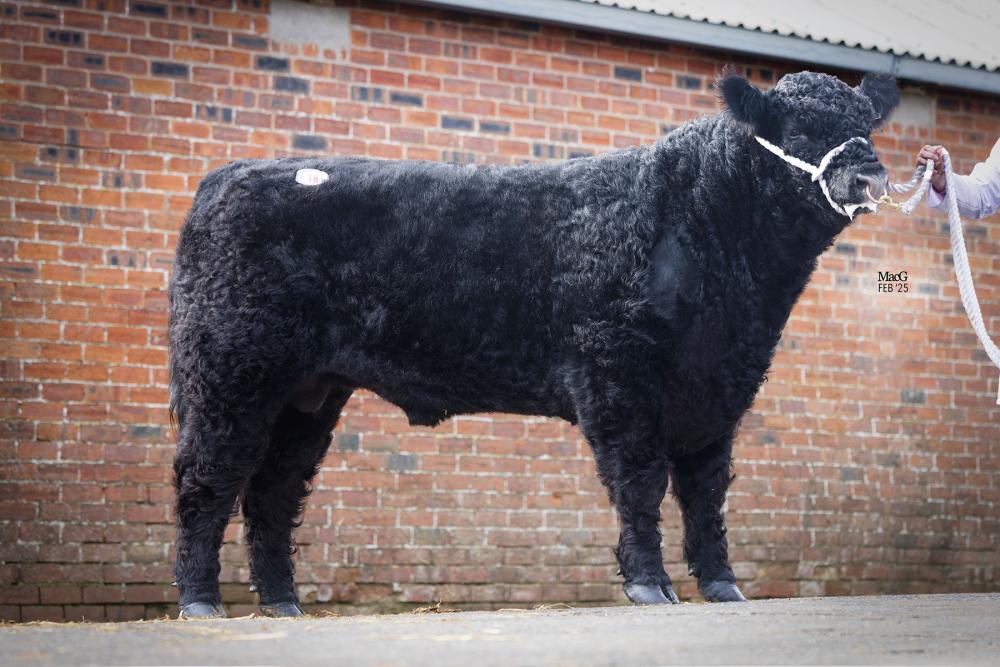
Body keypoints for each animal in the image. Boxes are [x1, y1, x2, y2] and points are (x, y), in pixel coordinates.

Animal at [168, 70, 901, 618]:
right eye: (798, 129)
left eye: (866, 123)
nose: (871, 175)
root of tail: (229, 176)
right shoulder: (616, 370)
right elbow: (640, 480)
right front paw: (650, 584)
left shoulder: (721, 387)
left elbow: (706, 491)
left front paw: (723, 584)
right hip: (231, 368)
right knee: (208, 477)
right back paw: (202, 601)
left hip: (308, 392)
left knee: (273, 489)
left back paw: (282, 602)